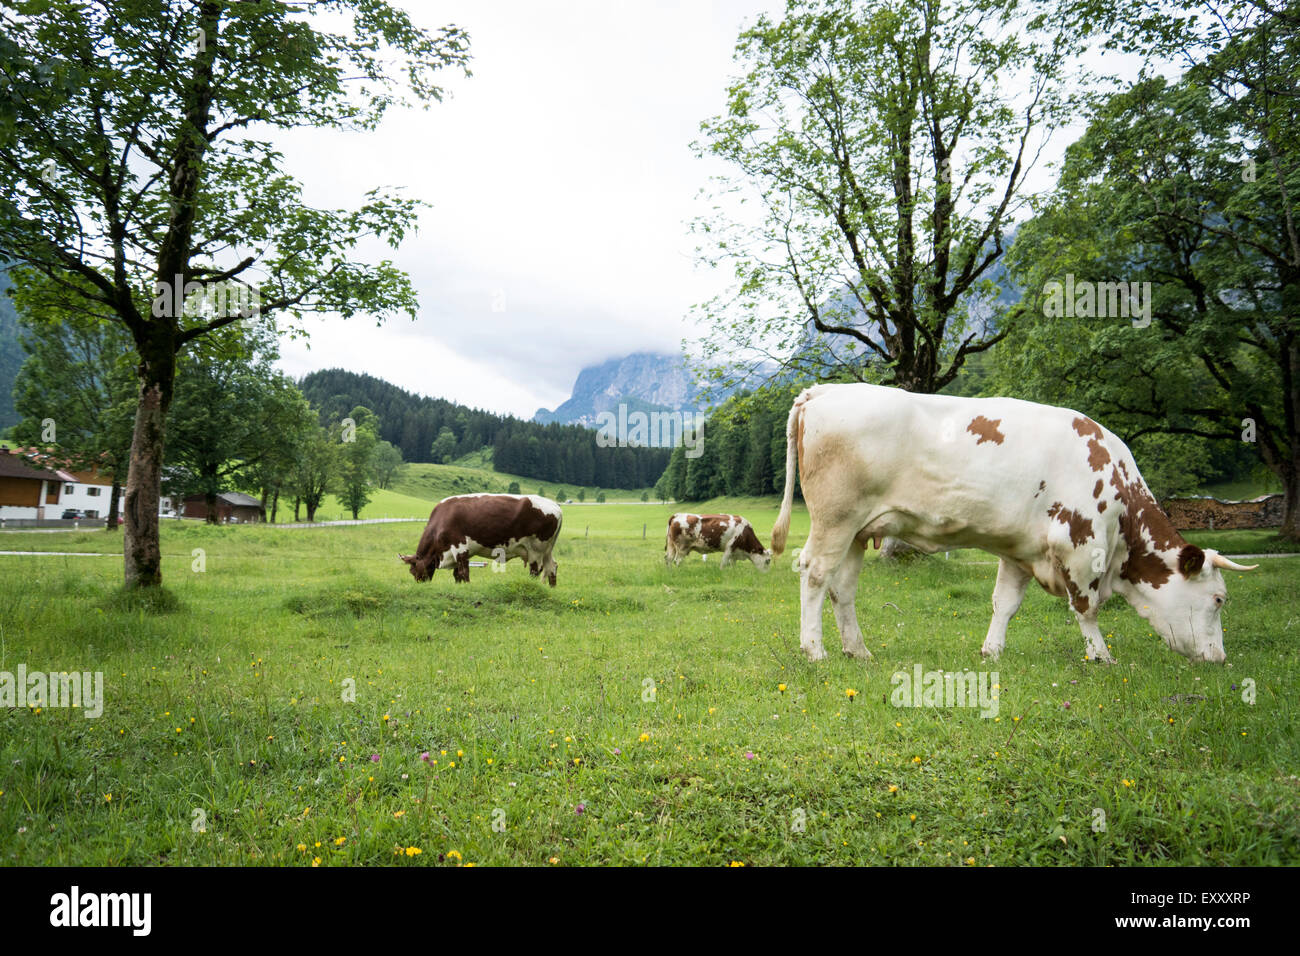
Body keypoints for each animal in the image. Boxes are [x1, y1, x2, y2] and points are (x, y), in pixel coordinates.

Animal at [401, 493, 562, 586]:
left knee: (536, 569)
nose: (420, 585)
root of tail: (555, 506)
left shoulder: (460, 547)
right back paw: (552, 587)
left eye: (412, 571)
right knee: (552, 567)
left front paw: (466, 586)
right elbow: (457, 573)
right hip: (547, 550)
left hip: (536, 549)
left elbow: (463, 571)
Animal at [770, 384, 1256, 664]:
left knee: (842, 588)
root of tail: (822, 390)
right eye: (1218, 599)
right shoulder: (1080, 546)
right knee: (814, 573)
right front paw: (1101, 655)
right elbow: (1087, 607)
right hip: (835, 519)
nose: (1219, 658)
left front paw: (992, 651)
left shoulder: (1021, 551)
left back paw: (858, 649)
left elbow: (1004, 603)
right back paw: (814, 649)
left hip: (858, 529)